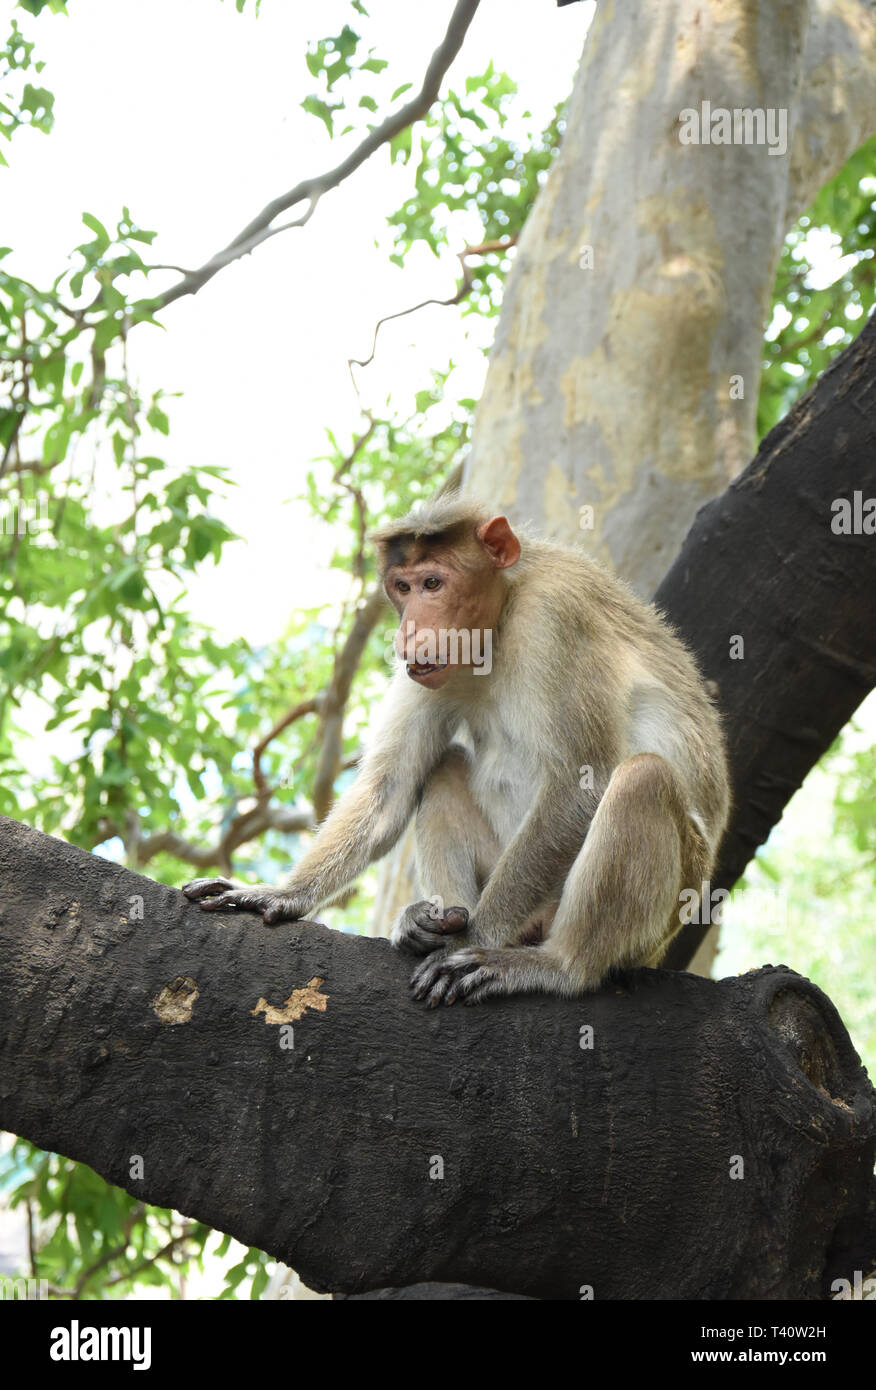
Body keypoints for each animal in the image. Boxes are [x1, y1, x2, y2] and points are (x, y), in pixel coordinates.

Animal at [183, 497, 730, 1006]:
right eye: (402, 588)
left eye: (433, 583)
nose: (408, 629)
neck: (503, 618)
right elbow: (392, 786)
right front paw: (283, 893)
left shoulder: (558, 615)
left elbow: (582, 784)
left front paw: (470, 942)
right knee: (442, 769)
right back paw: (434, 922)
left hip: (659, 921)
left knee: (643, 779)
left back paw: (556, 964)